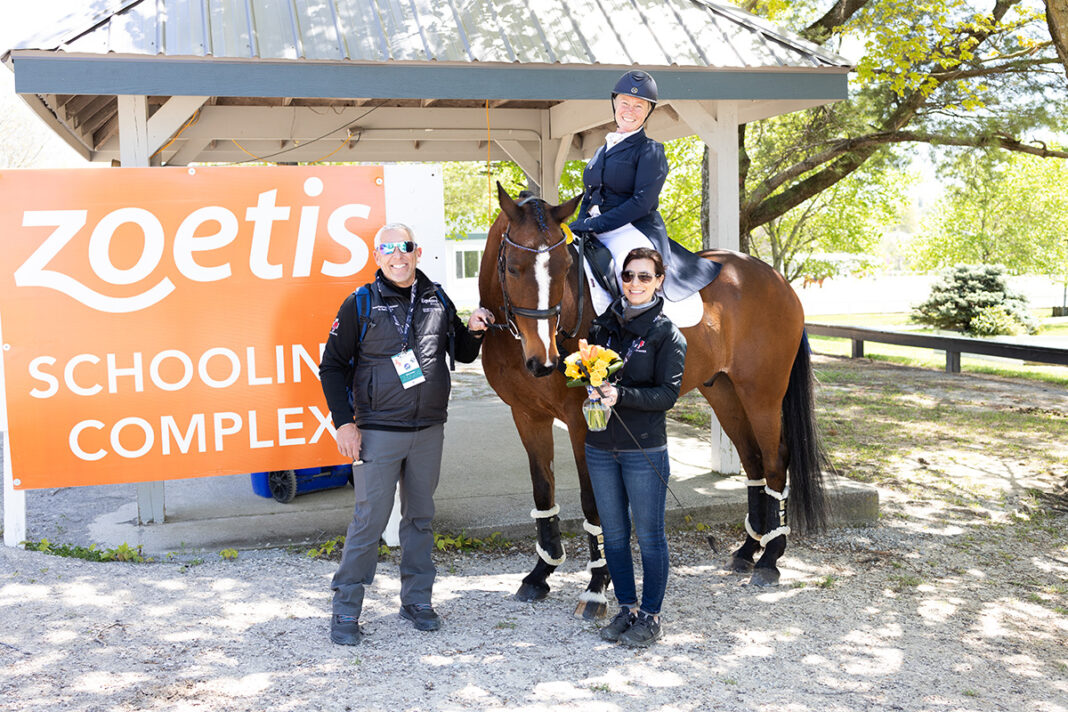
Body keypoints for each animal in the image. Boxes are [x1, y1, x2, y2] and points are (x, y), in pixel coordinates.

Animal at [478, 184, 830, 618]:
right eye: (512, 268)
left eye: (563, 269)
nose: (543, 361)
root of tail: (776, 277)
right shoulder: (527, 416)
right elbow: (543, 491)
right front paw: (540, 574)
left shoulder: (582, 422)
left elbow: (593, 501)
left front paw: (596, 587)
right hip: (724, 392)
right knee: (753, 461)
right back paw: (748, 550)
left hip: (761, 393)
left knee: (776, 459)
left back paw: (770, 559)